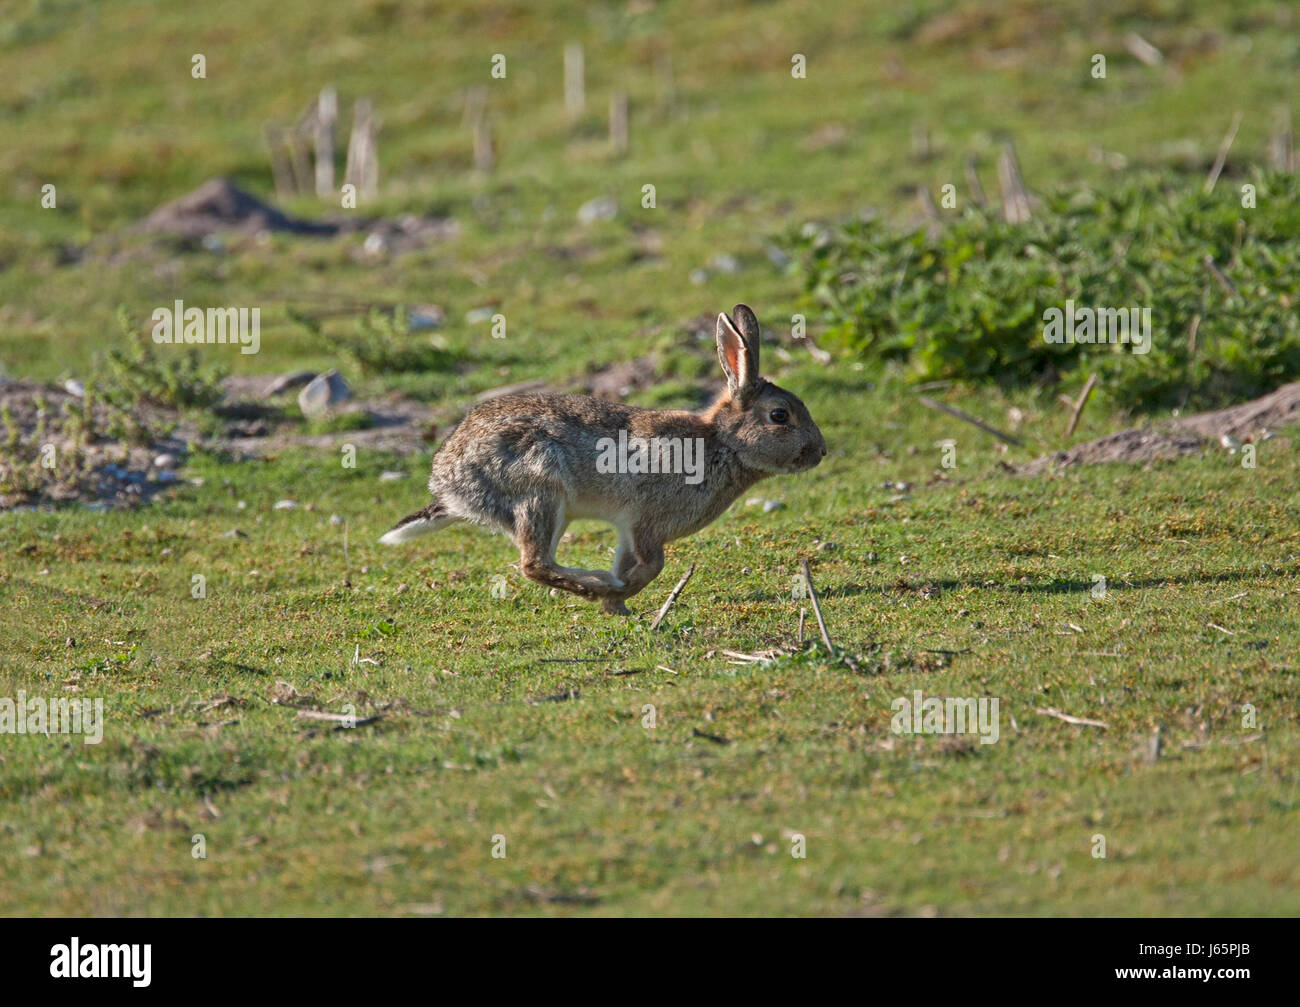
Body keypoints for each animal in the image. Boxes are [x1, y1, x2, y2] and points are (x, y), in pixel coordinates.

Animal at [379, 304, 826, 614]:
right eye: (780, 416)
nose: (820, 452)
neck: (723, 443)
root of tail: (446, 484)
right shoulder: (648, 522)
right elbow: (653, 565)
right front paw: (615, 594)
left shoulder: (629, 528)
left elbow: (628, 561)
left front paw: (618, 605)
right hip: (540, 491)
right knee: (533, 564)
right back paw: (594, 582)